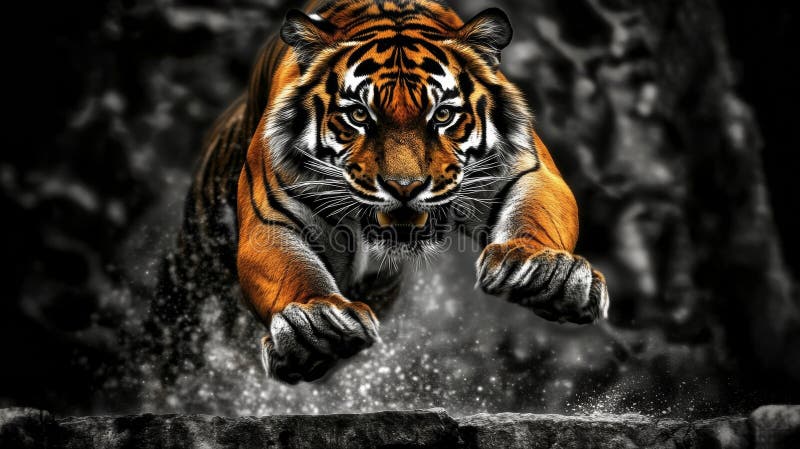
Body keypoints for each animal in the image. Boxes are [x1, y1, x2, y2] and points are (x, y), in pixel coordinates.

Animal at [155, 0, 610, 386]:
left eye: (443, 114)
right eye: (359, 115)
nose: (404, 187)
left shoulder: (525, 169)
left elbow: (534, 215)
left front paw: (548, 271)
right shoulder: (272, 215)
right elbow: (290, 269)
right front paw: (315, 325)